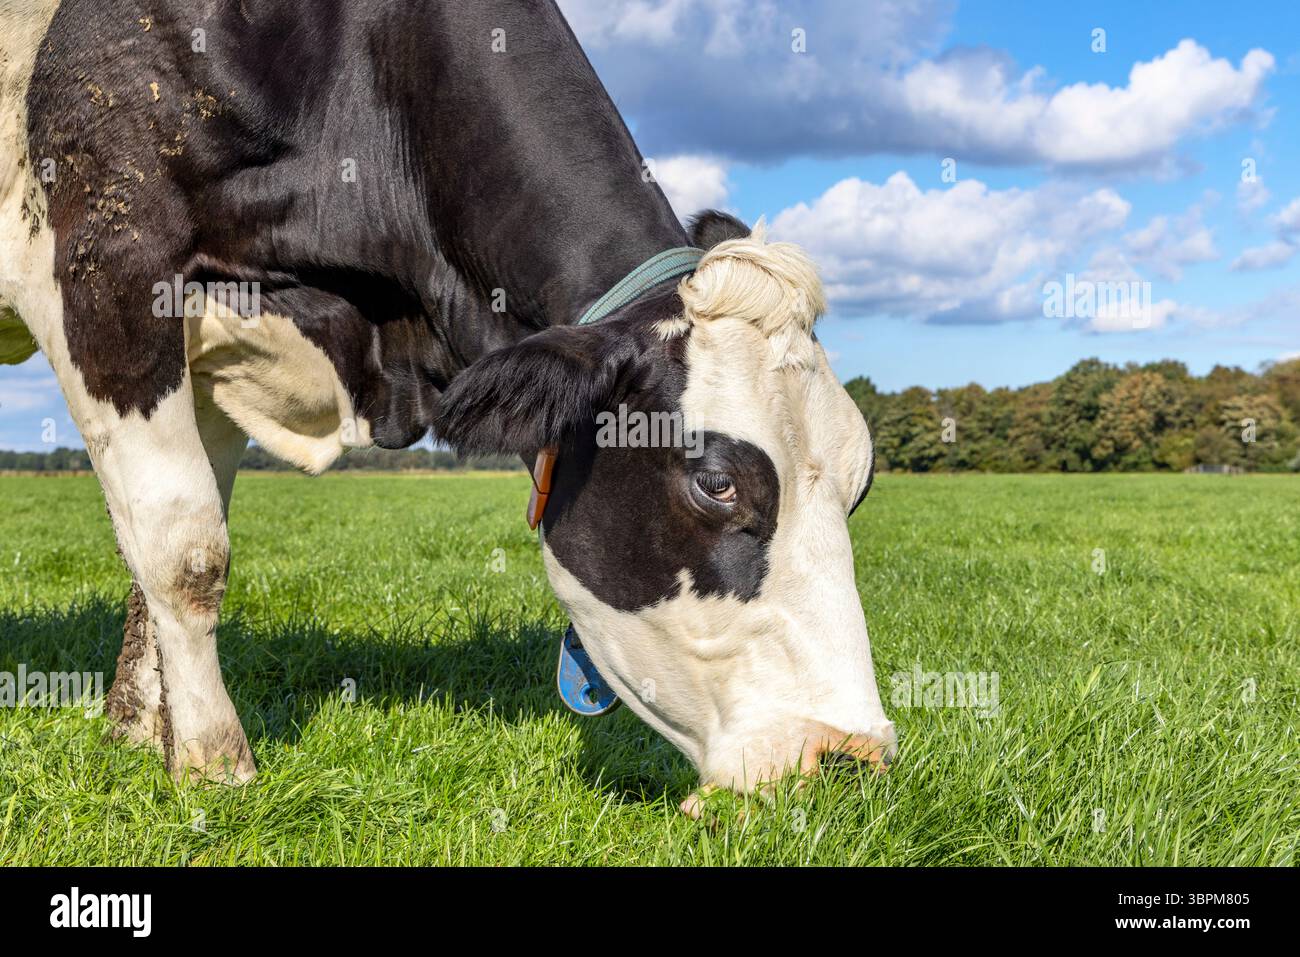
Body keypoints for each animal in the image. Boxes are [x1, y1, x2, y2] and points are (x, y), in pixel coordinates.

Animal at [0, 0, 895, 813]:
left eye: (862, 487)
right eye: (716, 482)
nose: (850, 757)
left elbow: (170, 536)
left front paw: (138, 728)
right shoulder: (108, 260)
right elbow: (185, 549)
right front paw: (213, 763)